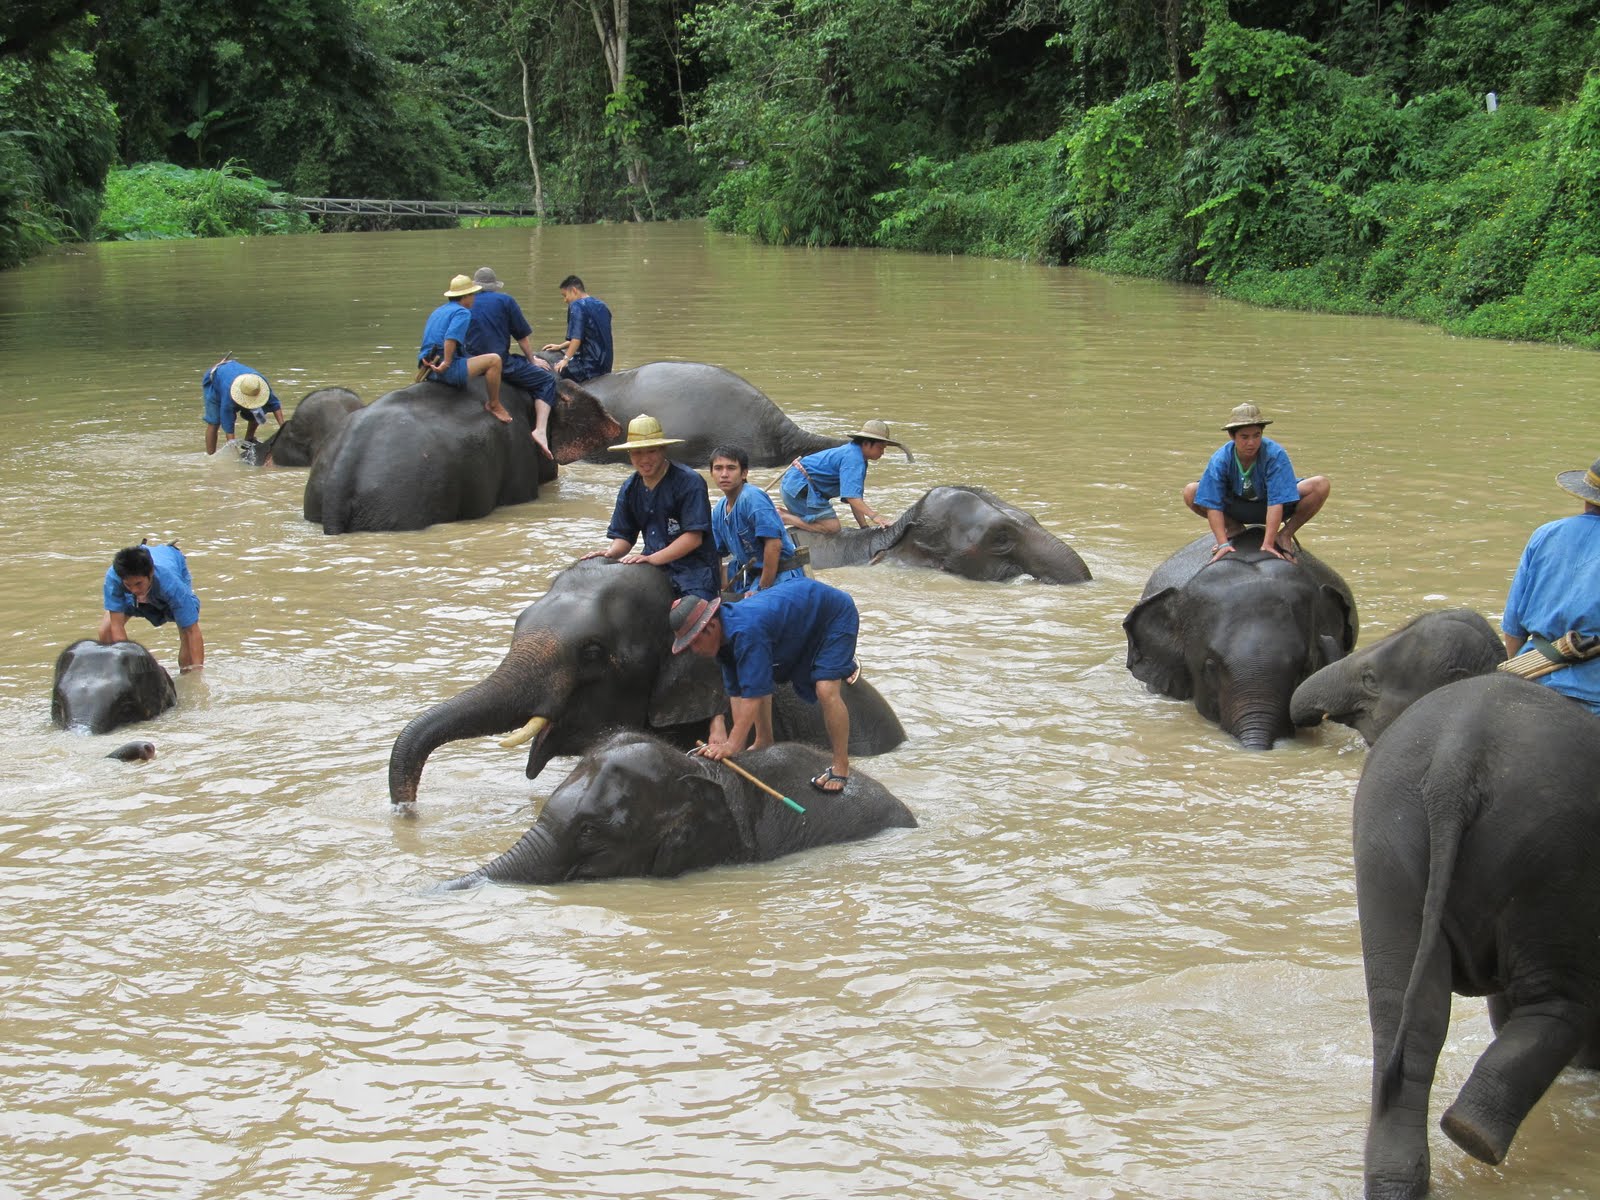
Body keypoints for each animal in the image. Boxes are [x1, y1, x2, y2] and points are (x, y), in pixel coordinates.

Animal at [1355, 673, 1600, 1200]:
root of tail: (1456, 759)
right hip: (1555, 857)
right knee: (1559, 1000)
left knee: (1406, 1013)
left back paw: (1403, 1178)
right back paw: (1475, 1136)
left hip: (1386, 841)